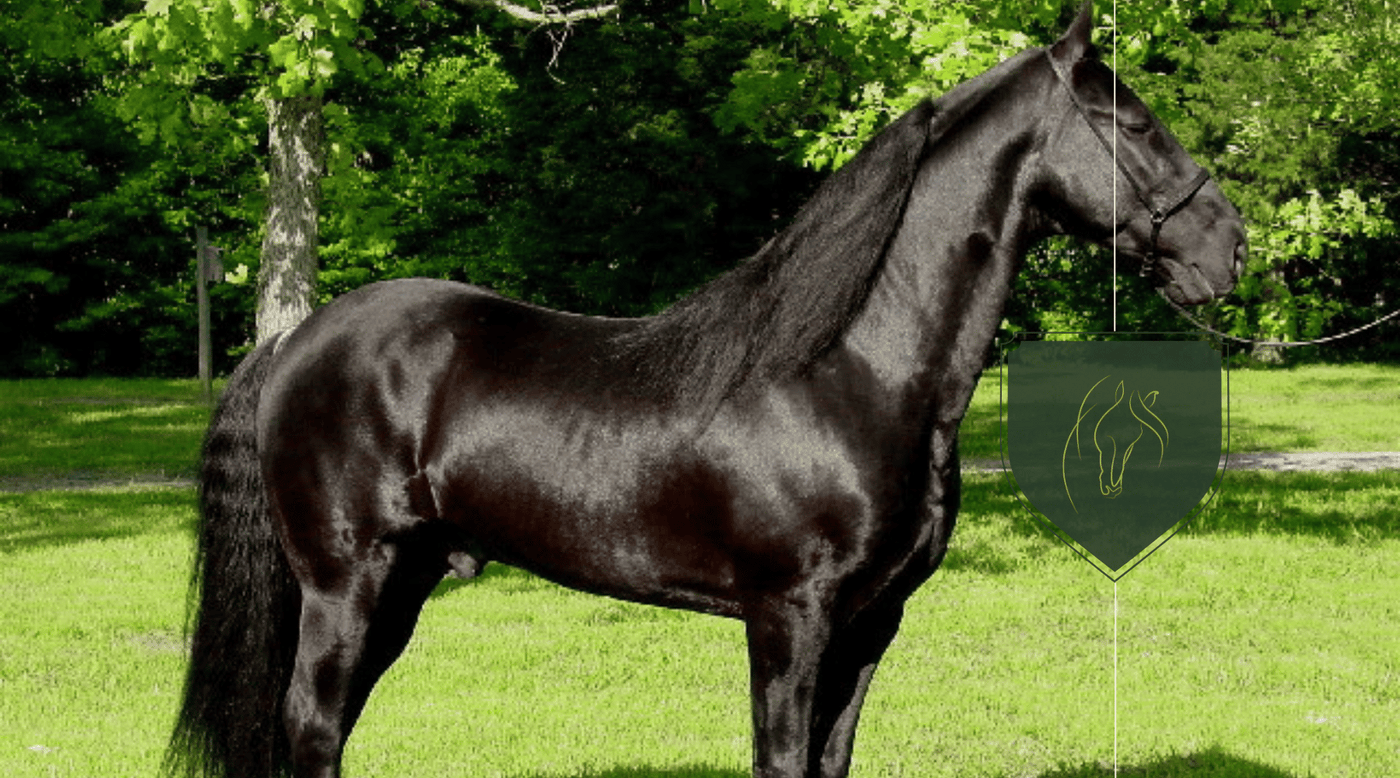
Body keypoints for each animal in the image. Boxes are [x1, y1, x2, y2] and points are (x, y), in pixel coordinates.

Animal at [166, 6, 1246, 778]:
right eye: (1134, 124)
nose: (1226, 247)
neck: (849, 374)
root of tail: (298, 340)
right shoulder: (790, 619)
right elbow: (780, 760)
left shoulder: (870, 624)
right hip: (348, 581)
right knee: (312, 729)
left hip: (402, 581)